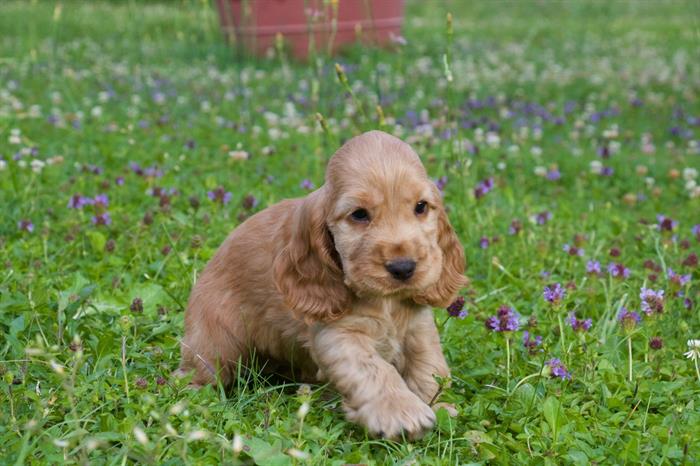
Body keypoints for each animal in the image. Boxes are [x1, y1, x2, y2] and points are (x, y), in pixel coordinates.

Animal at [178, 129, 468, 438]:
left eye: (421, 207)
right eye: (359, 214)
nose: (403, 267)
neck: (386, 302)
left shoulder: (418, 325)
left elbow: (429, 365)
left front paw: (439, 405)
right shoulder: (338, 333)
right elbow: (374, 369)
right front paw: (399, 410)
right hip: (216, 342)